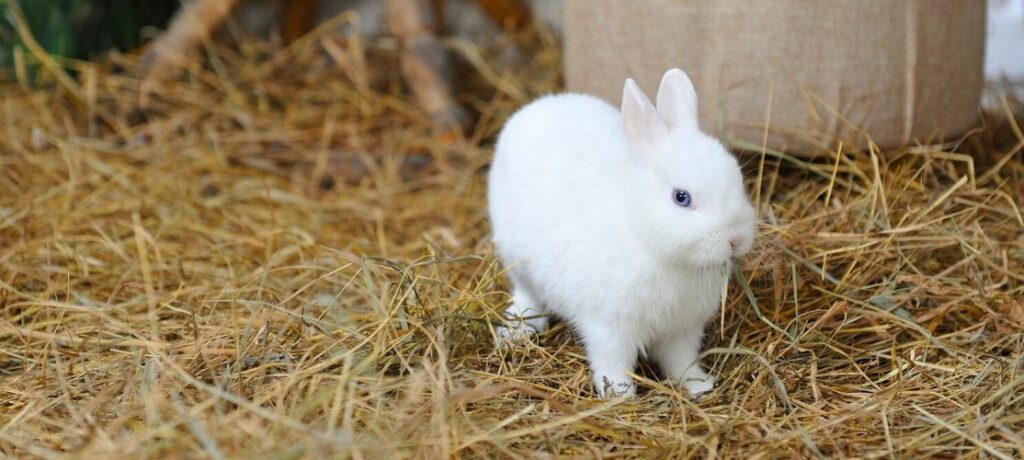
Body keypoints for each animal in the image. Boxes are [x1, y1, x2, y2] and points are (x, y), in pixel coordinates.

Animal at [487, 68, 756, 398]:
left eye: (738, 178)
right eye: (681, 197)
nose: (735, 239)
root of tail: (538, 105)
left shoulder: (682, 330)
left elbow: (682, 362)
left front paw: (699, 385)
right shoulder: (609, 328)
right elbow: (612, 362)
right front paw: (620, 394)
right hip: (517, 262)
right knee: (527, 296)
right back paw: (515, 331)